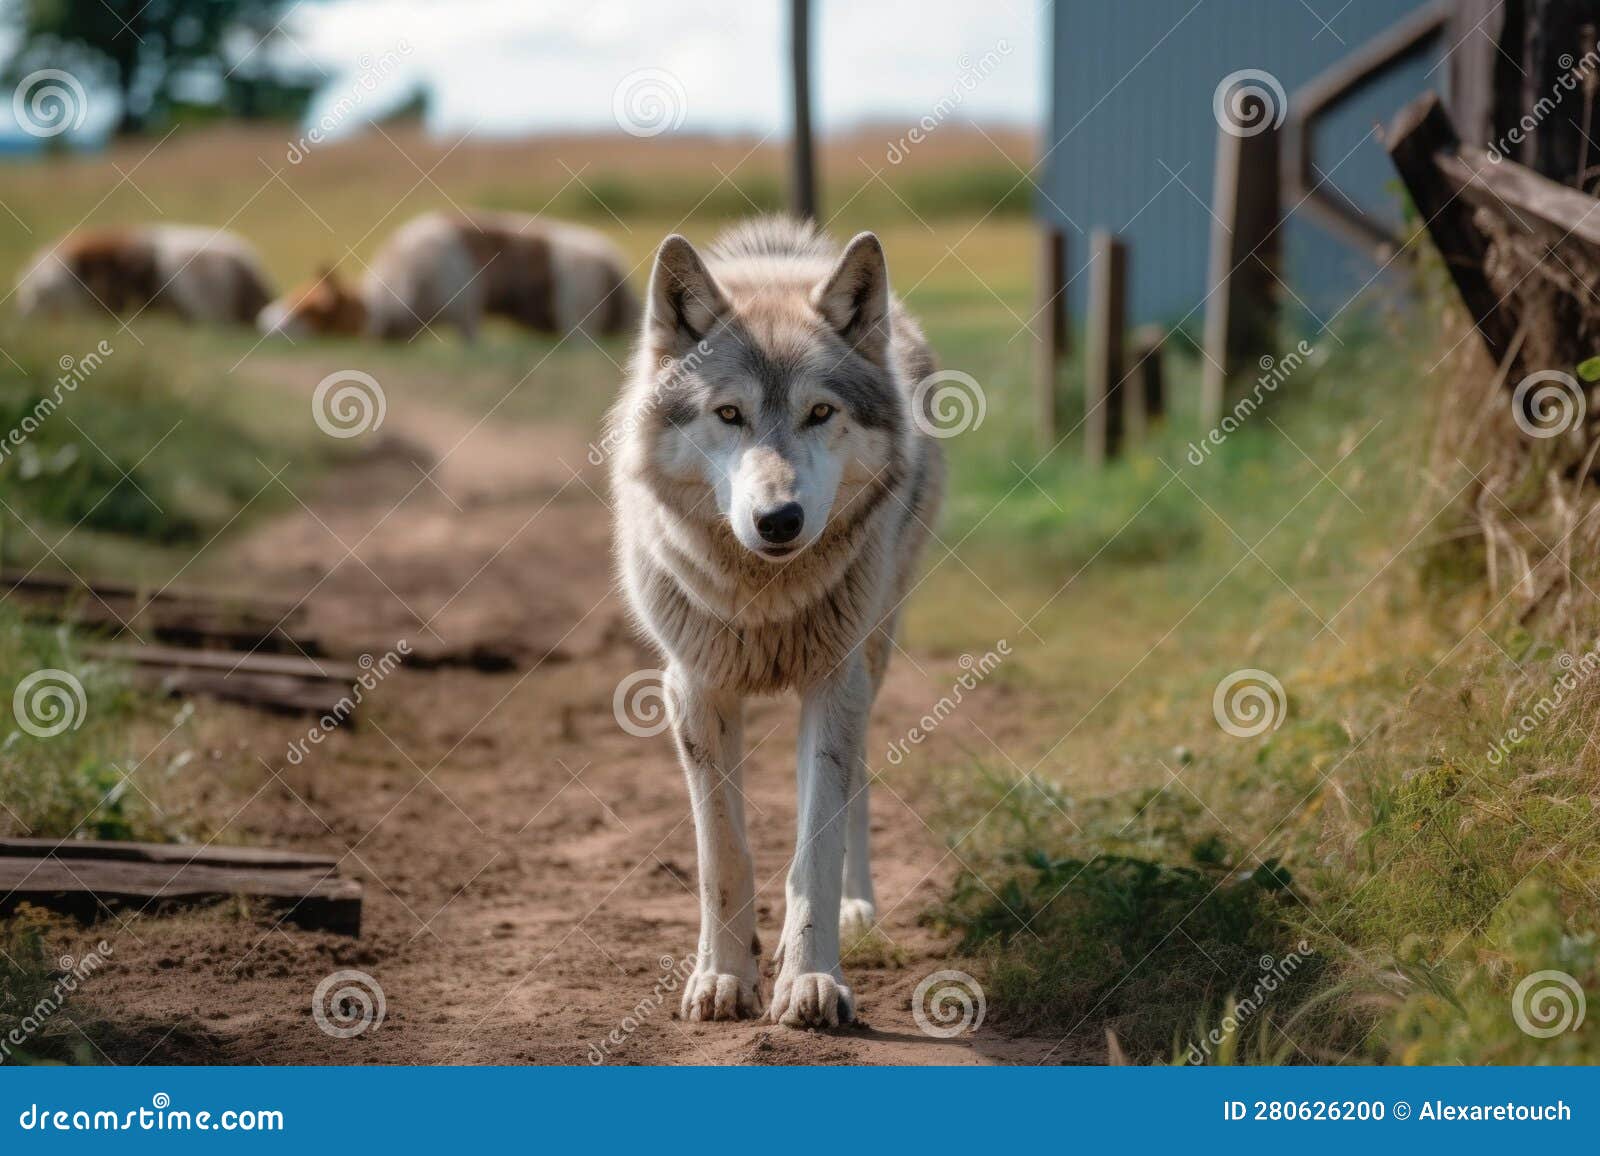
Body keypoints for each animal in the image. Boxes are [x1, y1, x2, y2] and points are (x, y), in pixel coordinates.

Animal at [256, 210, 637, 341]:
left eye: (312, 310)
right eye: (294, 294)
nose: (263, 322)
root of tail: (612, 264)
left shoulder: (467, 316)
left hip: (578, 323)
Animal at [609, 217, 944, 1027]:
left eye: (820, 413)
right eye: (728, 414)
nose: (780, 519)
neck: (763, 596)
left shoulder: (832, 683)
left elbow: (815, 845)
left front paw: (812, 980)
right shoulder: (694, 691)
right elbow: (722, 856)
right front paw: (723, 978)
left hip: (870, 656)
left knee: (851, 790)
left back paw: (853, 911)